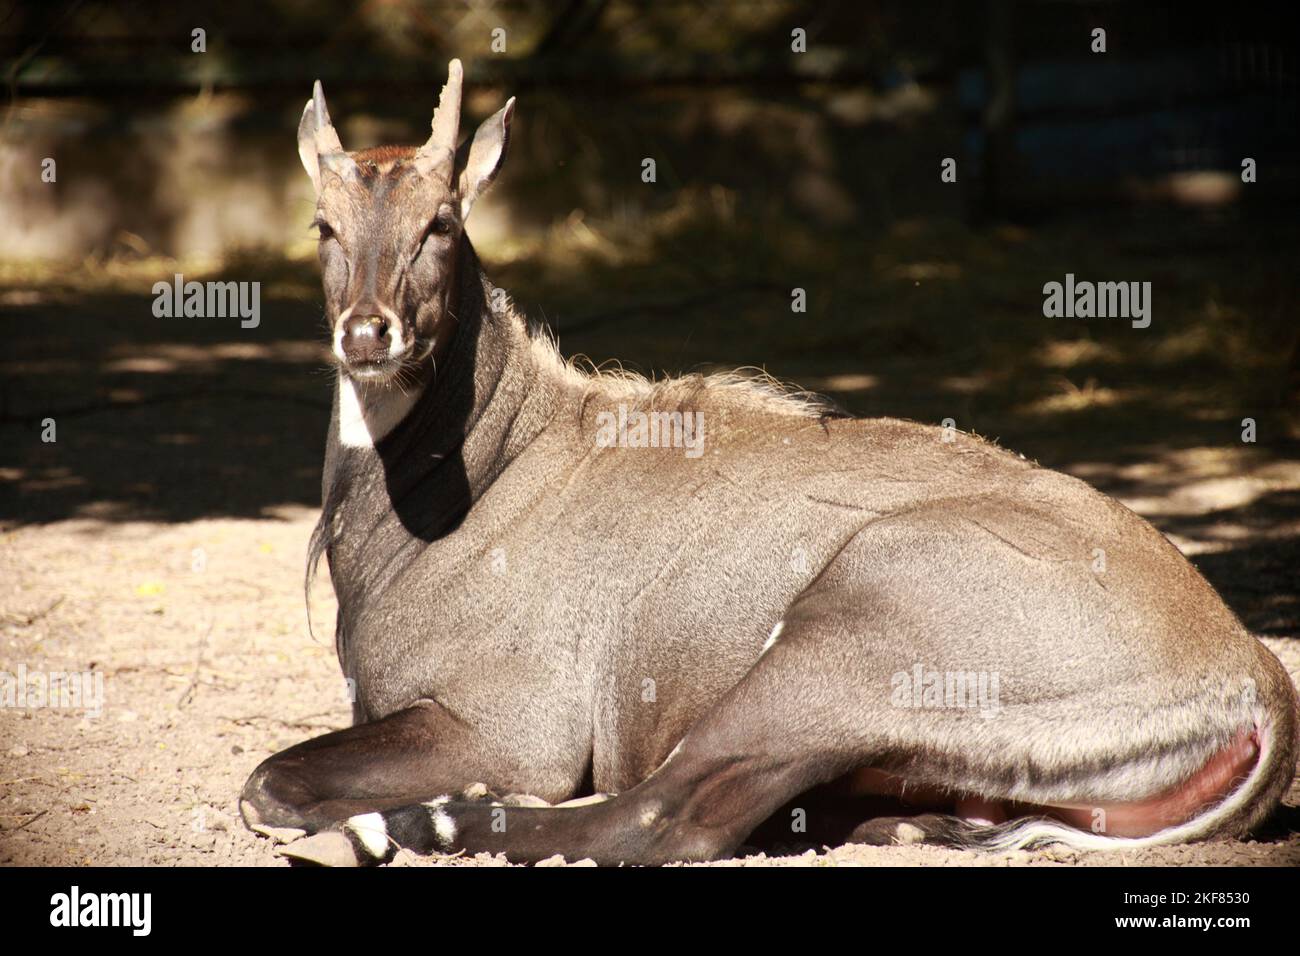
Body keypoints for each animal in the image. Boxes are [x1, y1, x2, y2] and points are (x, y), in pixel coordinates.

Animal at [239, 61, 1298, 866]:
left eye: (442, 225)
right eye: (323, 227)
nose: (367, 335)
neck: (481, 471)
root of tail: (1254, 680)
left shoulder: (511, 725)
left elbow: (268, 779)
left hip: (841, 629)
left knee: (667, 815)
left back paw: (410, 824)